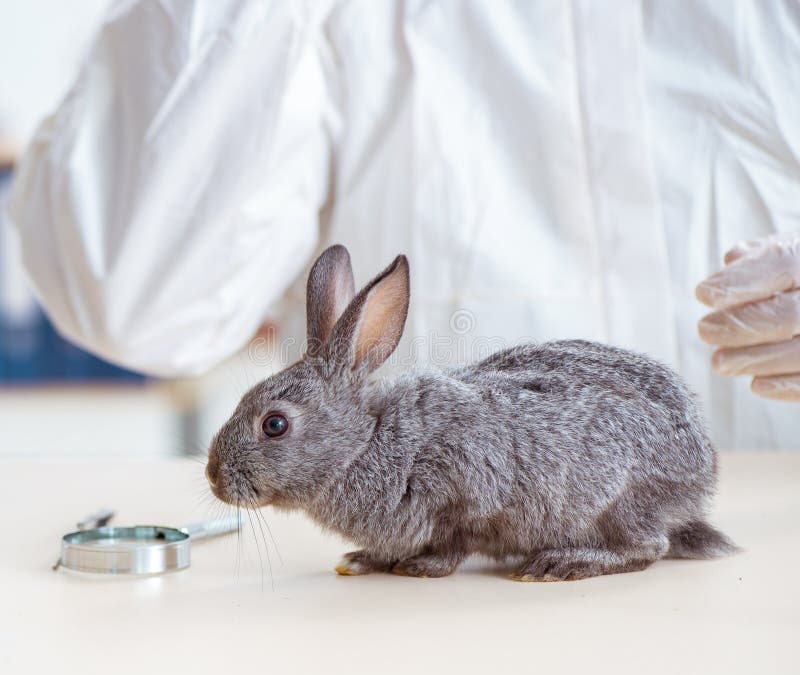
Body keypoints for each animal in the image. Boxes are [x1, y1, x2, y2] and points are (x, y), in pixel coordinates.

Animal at [205, 244, 737, 581]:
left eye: (275, 424)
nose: (214, 476)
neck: (364, 443)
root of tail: (702, 472)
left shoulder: (465, 494)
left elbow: (455, 543)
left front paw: (420, 568)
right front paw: (362, 560)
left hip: (619, 501)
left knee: (648, 547)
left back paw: (562, 564)